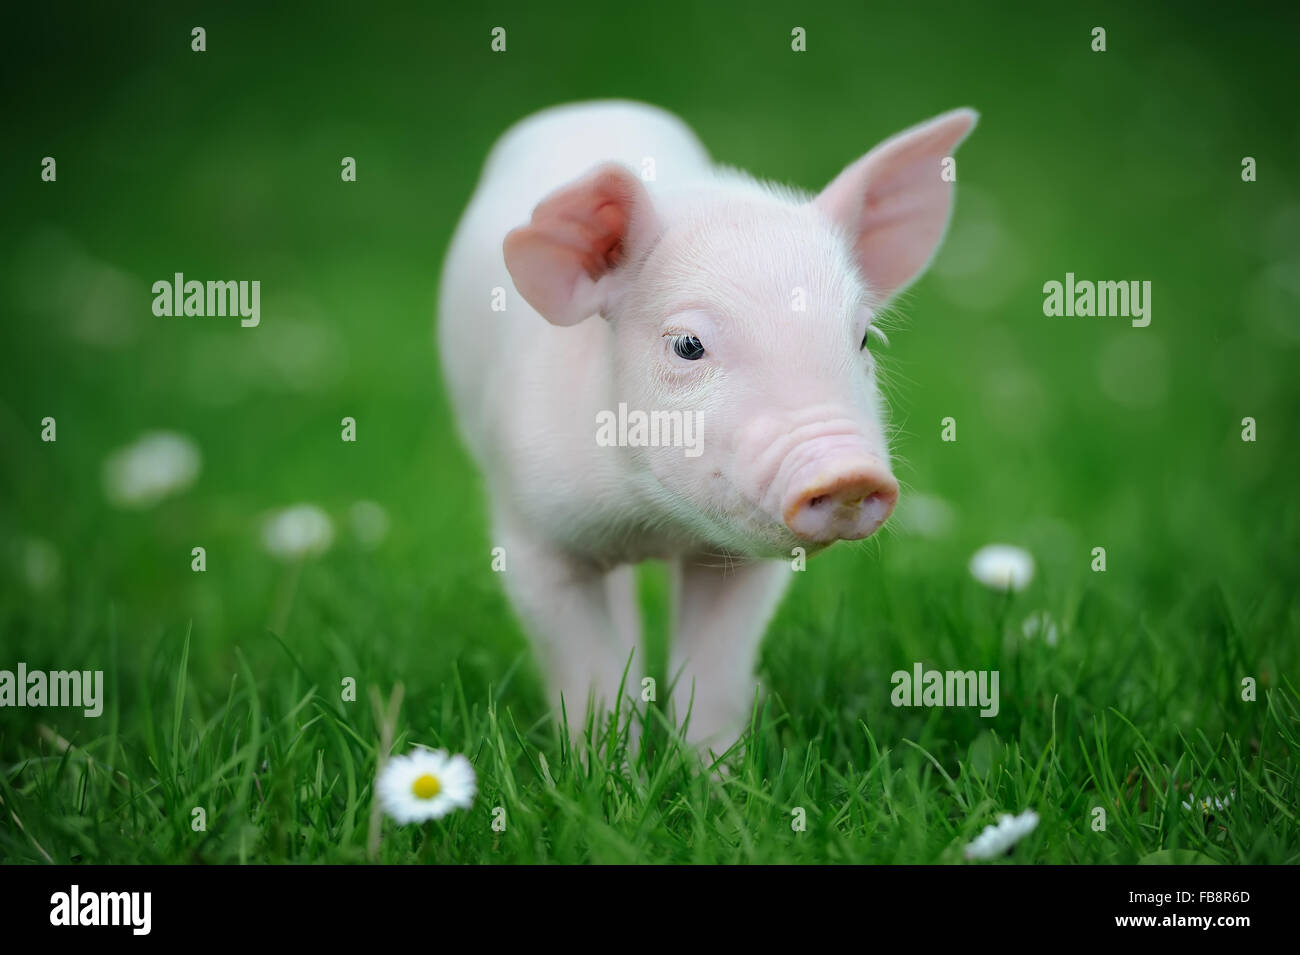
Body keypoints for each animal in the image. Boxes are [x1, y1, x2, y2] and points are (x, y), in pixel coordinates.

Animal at [438, 100, 976, 751]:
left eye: (865, 337)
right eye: (688, 345)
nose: (848, 472)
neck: (653, 523)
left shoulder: (743, 562)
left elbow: (714, 676)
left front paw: (716, 772)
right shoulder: (531, 535)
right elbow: (589, 676)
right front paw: (605, 769)